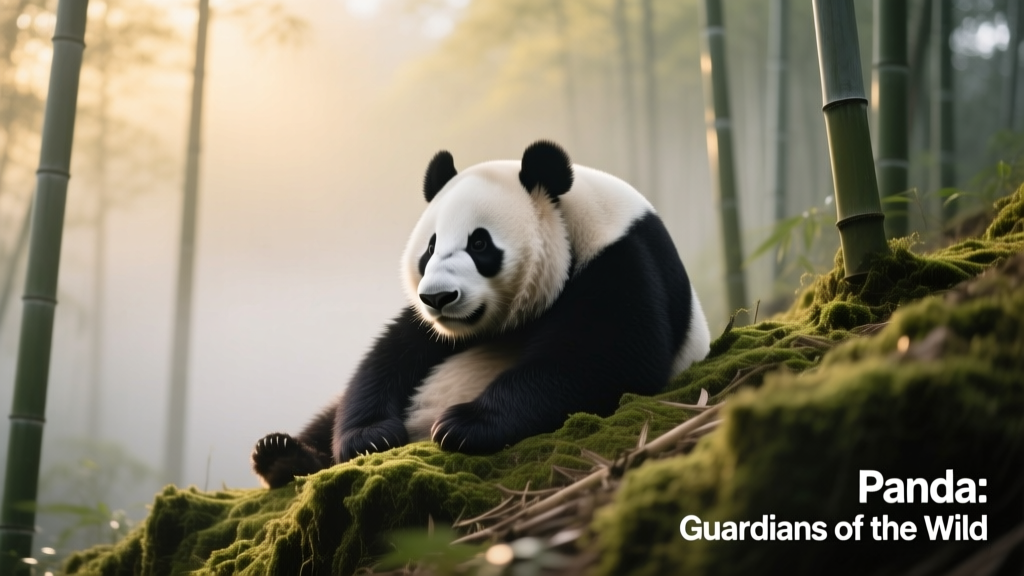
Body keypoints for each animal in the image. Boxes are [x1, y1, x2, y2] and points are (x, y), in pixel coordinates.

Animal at [251, 141, 711, 489]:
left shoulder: (621, 261)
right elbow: (387, 357)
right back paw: (281, 454)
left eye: (479, 243)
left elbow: (602, 358)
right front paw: (370, 437)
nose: (439, 297)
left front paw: (463, 424)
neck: (575, 217)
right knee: (325, 415)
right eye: (430, 247)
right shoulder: (433, 326)